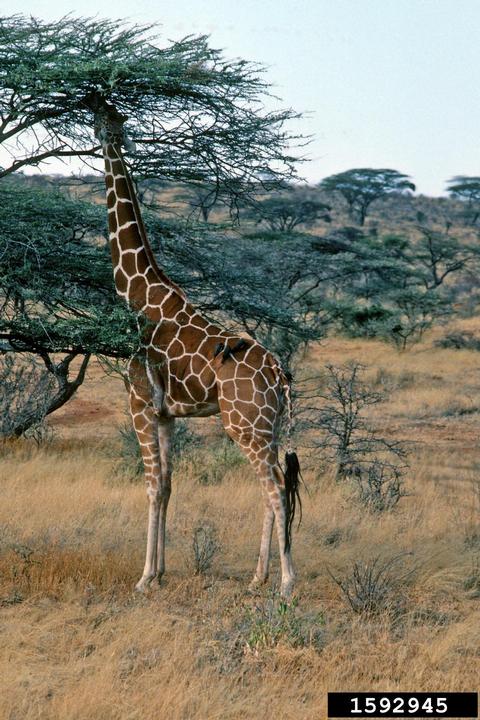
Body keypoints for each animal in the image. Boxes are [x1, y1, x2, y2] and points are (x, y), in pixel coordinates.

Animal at [89, 97, 301, 598]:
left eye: (107, 116)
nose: (92, 106)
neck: (139, 298)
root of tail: (279, 376)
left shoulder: (139, 403)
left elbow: (150, 486)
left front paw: (144, 577)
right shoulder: (168, 413)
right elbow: (167, 485)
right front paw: (161, 571)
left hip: (244, 426)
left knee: (276, 488)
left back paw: (285, 583)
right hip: (269, 427)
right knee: (273, 486)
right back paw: (257, 576)